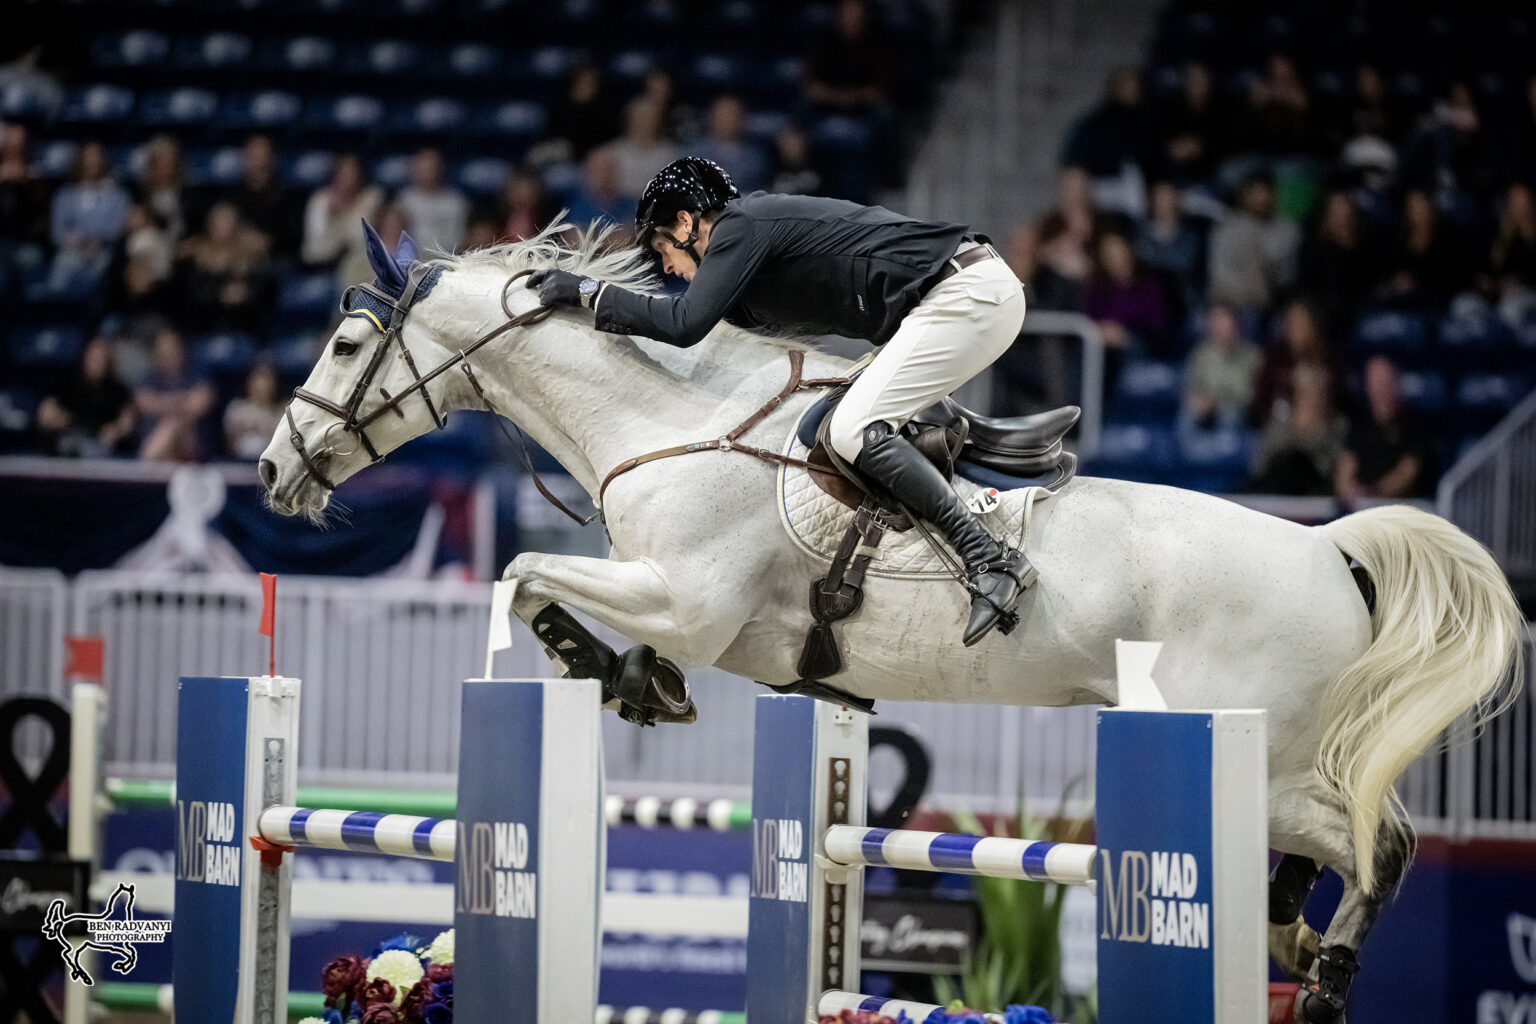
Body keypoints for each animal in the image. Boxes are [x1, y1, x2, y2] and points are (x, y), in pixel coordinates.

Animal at [258, 221, 1524, 1022]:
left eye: (344, 344)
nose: (274, 471)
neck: (667, 423)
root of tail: (1327, 547)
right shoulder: (685, 604)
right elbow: (550, 587)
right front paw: (634, 679)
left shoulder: (688, 598)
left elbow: (521, 574)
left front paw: (606, 666)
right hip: (1280, 756)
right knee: (1336, 848)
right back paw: (1295, 942)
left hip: (1254, 751)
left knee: (1382, 839)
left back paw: (1324, 973)